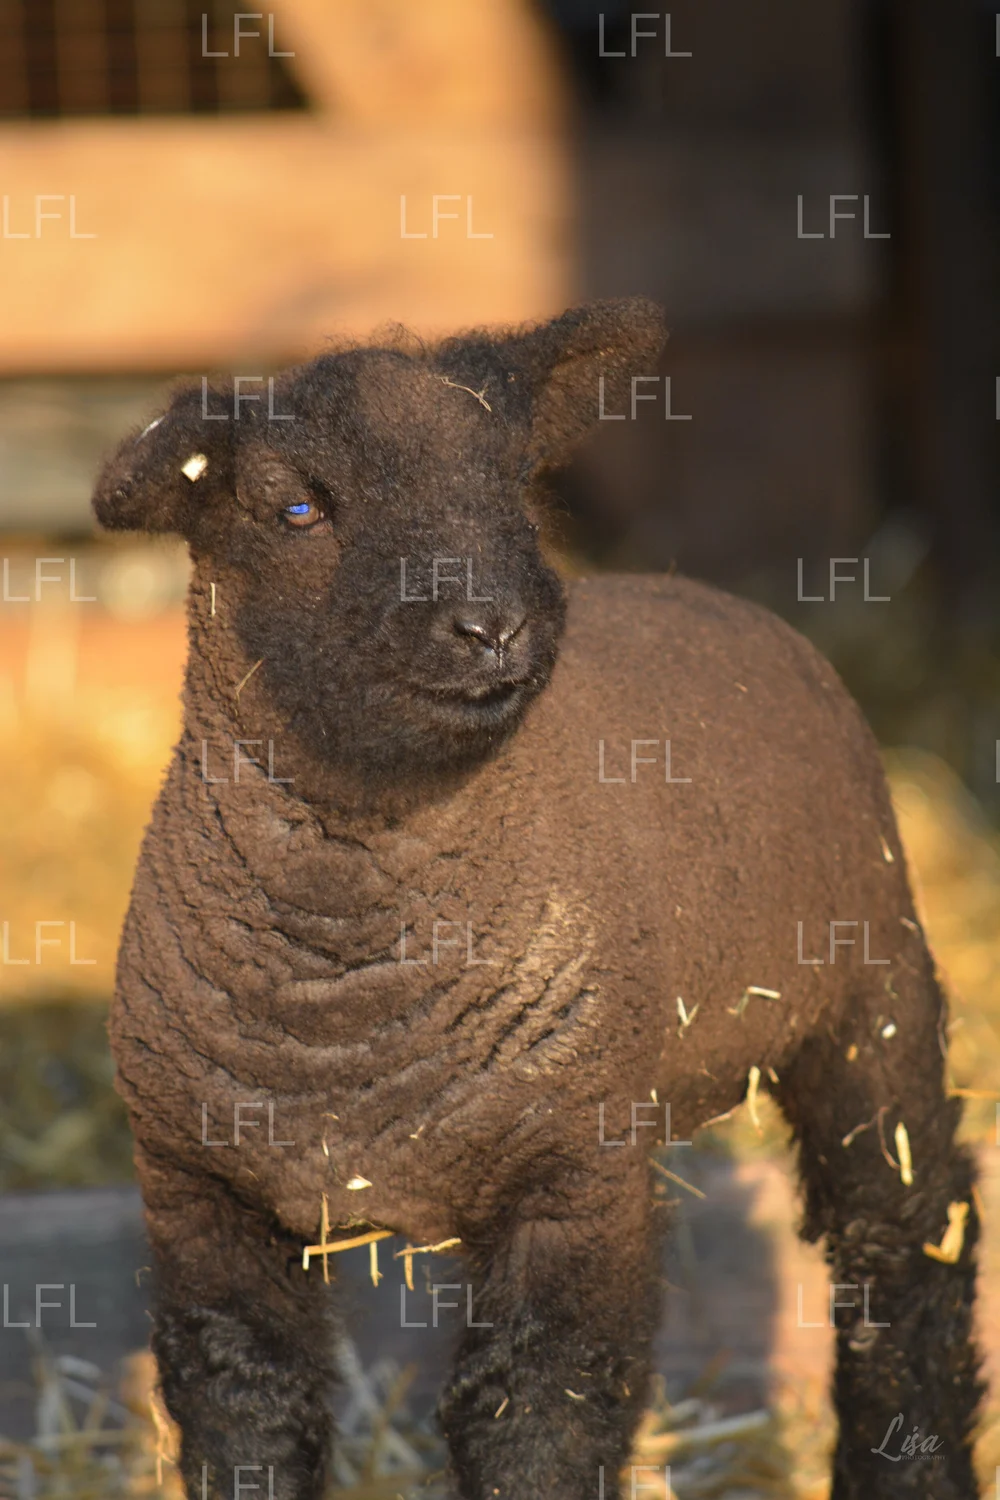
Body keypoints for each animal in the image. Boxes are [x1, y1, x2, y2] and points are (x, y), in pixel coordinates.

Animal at [93, 299, 981, 1500]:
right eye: (297, 505)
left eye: (511, 485)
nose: (489, 626)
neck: (341, 993)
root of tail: (689, 587)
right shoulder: (198, 1192)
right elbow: (247, 1408)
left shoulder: (570, 1181)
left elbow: (538, 1417)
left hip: (871, 994)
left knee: (905, 1248)